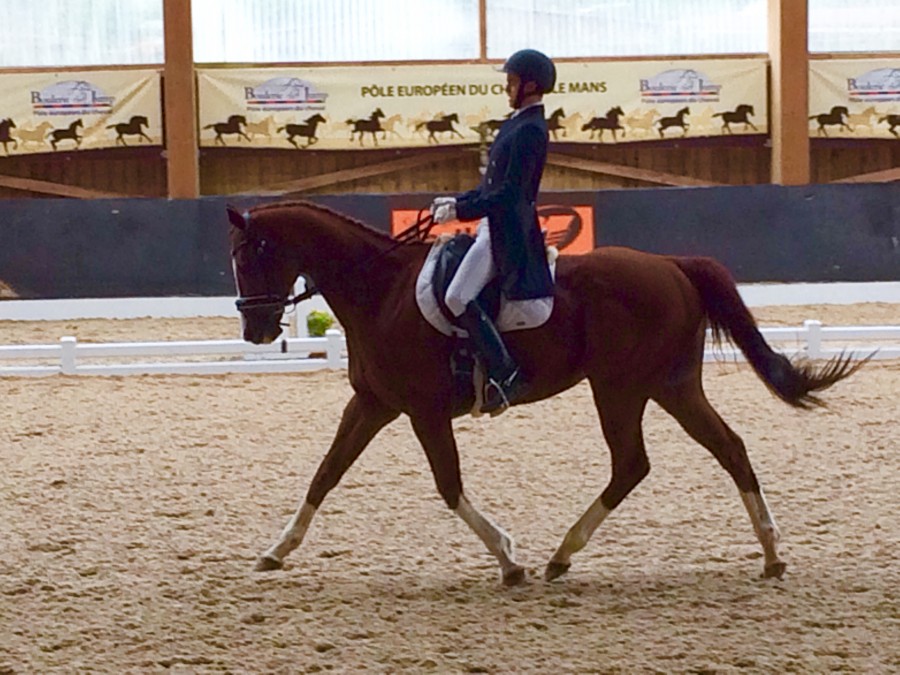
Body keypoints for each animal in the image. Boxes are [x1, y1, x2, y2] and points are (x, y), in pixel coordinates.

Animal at [227, 200, 865, 586]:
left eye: (252, 254)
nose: (255, 329)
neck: (381, 291)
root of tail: (672, 265)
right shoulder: (373, 403)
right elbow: (325, 473)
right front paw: (278, 550)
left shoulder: (423, 411)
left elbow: (448, 486)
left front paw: (509, 560)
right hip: (671, 385)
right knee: (726, 448)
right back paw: (771, 554)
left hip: (620, 387)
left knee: (633, 463)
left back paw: (562, 553)